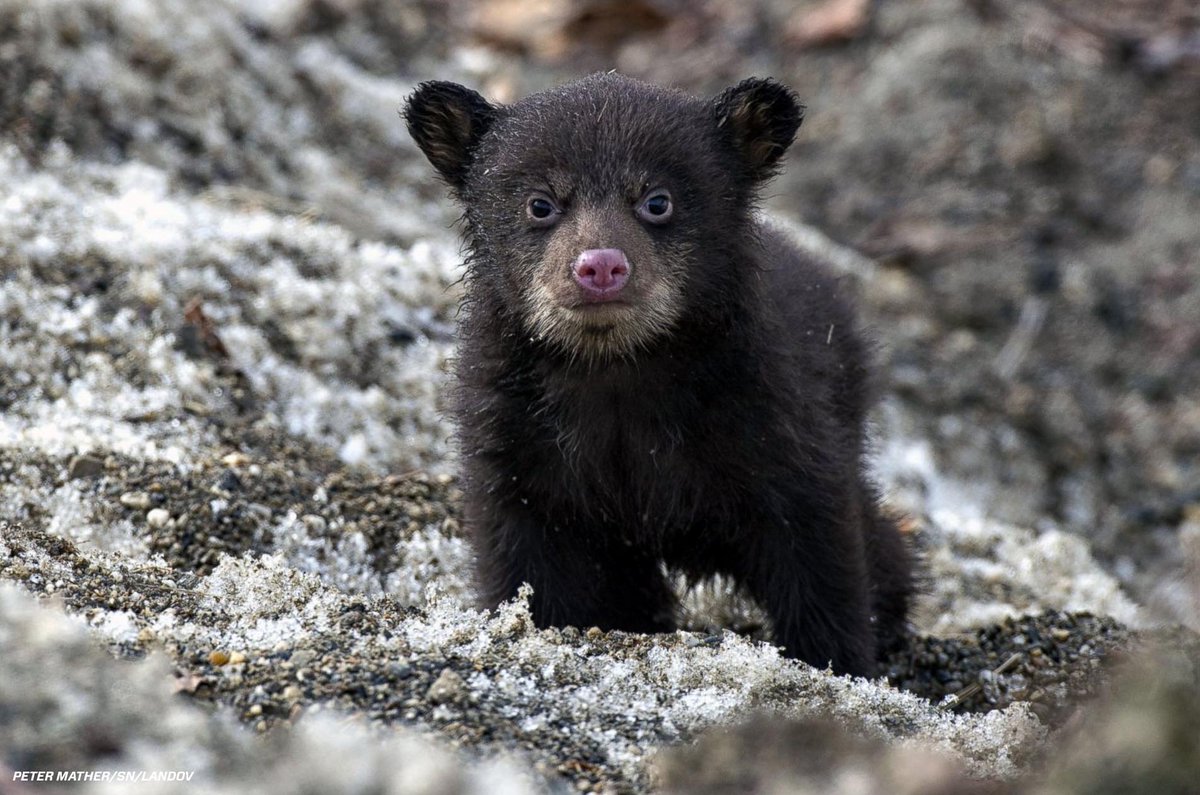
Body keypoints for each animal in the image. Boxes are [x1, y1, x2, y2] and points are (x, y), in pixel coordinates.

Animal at [403, 73, 913, 675]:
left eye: (656, 201)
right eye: (540, 204)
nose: (600, 266)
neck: (616, 371)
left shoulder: (771, 410)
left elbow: (814, 541)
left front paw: (836, 663)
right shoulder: (514, 437)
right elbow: (526, 560)